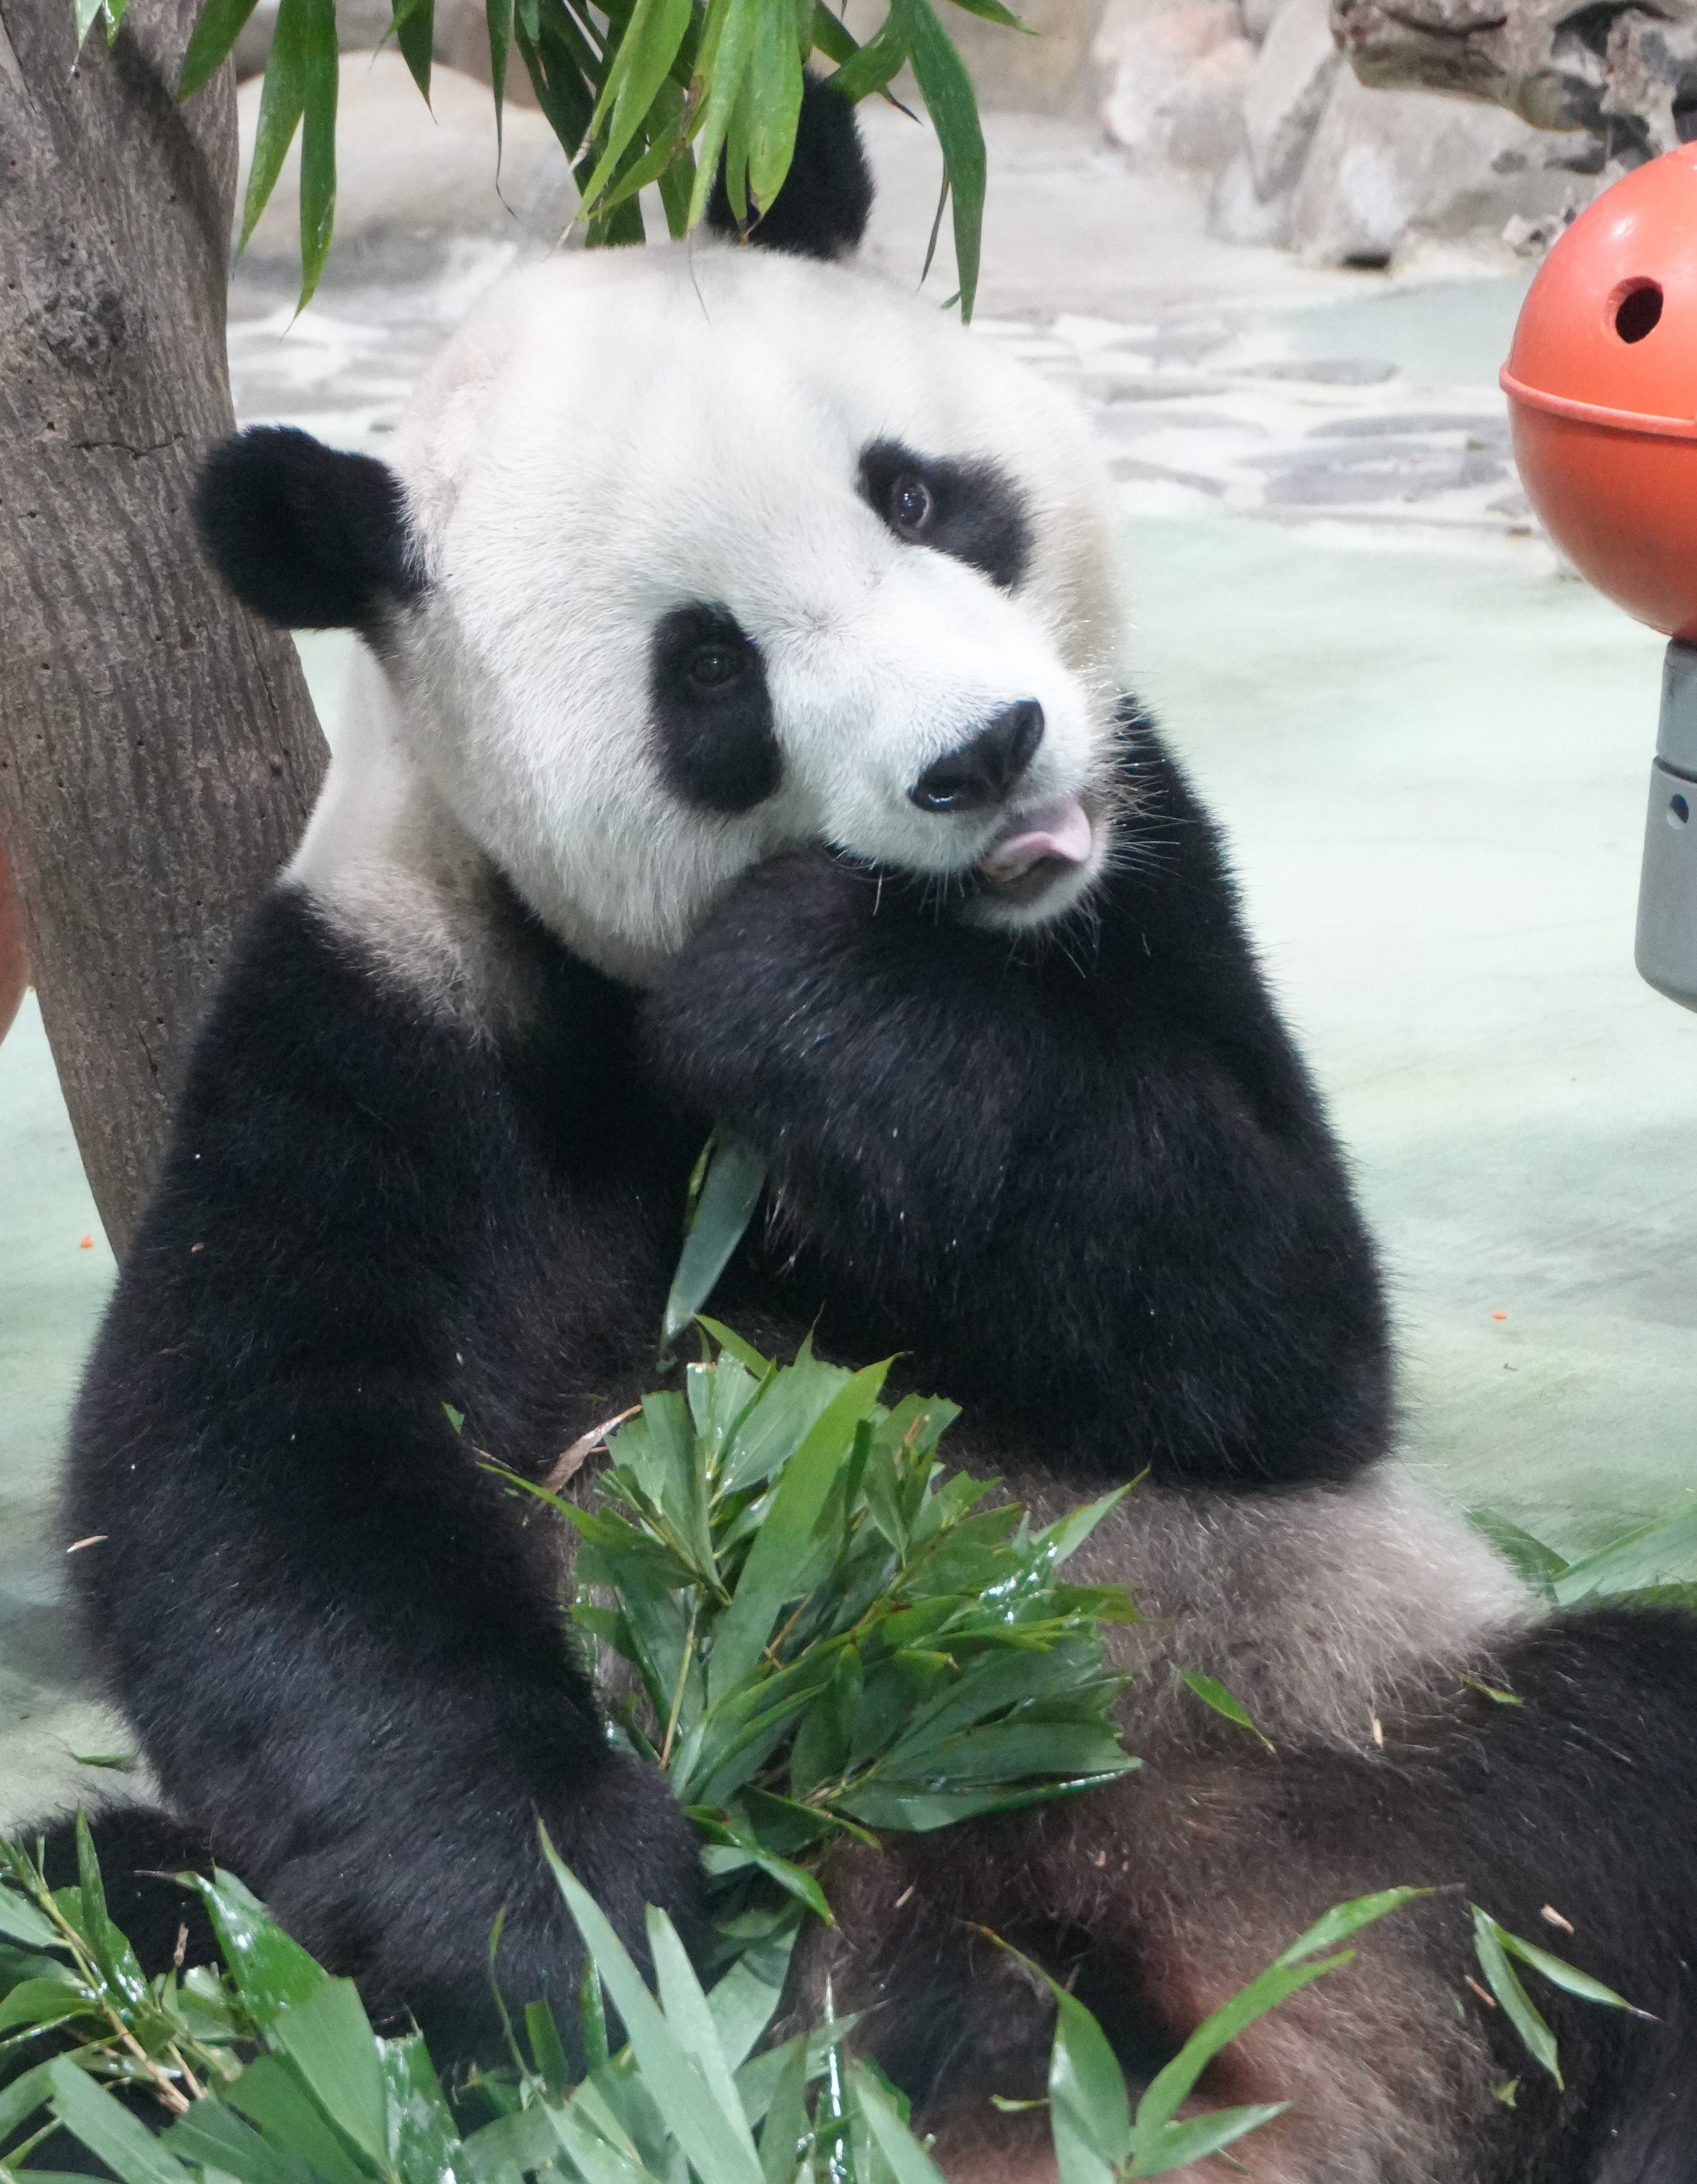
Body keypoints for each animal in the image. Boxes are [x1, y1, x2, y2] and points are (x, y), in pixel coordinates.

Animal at [52, 78, 1697, 2182]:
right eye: (708, 670)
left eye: (916, 496)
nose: (983, 753)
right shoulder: (386, 1015)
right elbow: (252, 1486)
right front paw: (598, 1946)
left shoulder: (1146, 860)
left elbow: (1273, 1322)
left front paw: (800, 992)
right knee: (118, 1923)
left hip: (1377, 1756)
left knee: (1631, 1769)